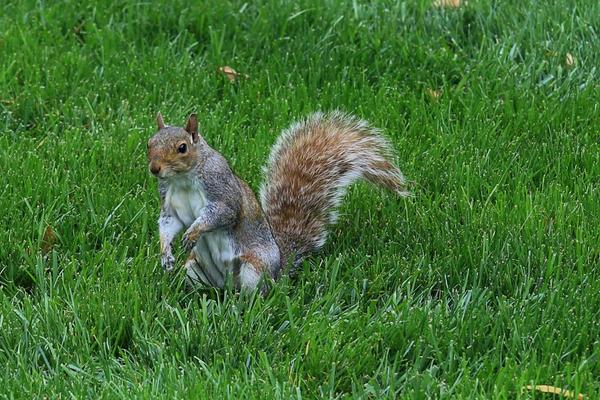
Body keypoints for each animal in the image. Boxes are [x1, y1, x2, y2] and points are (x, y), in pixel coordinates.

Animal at [147, 111, 410, 292]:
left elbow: (223, 213)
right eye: (149, 143)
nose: (154, 169)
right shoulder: (168, 200)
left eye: (182, 147)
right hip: (194, 269)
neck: (182, 178)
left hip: (254, 269)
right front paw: (165, 253)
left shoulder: (220, 187)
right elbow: (169, 223)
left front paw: (193, 233)